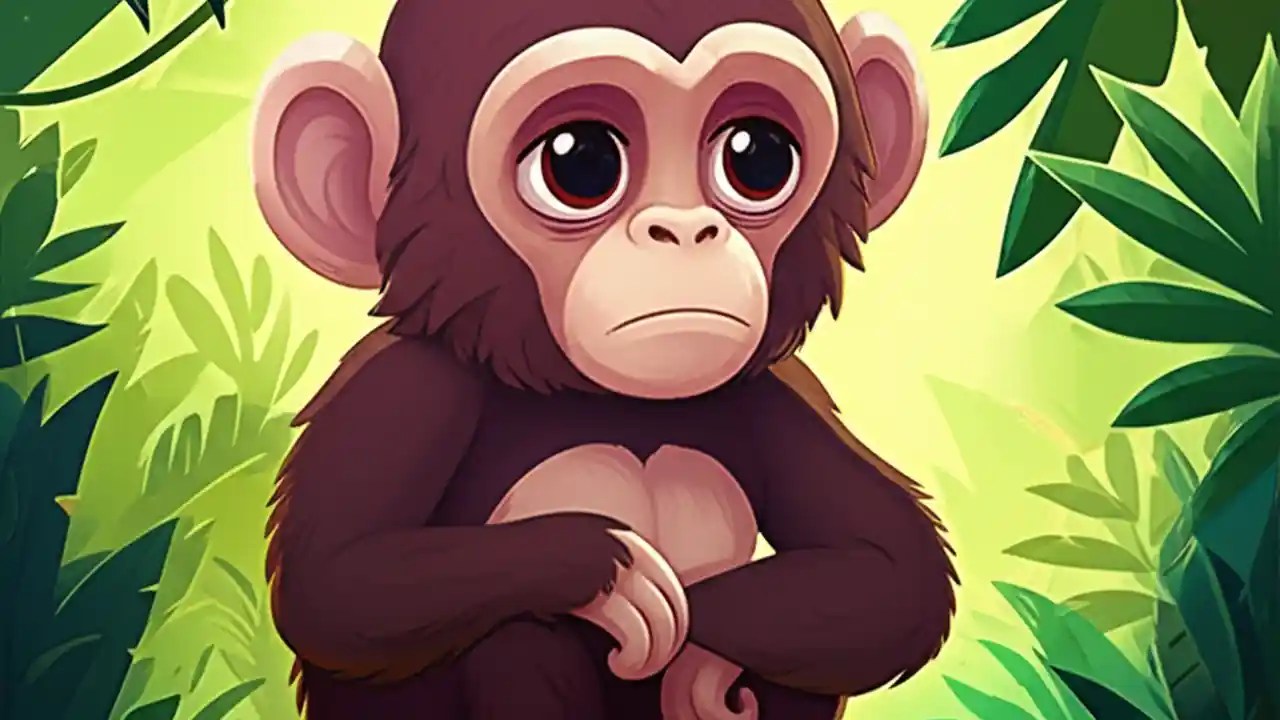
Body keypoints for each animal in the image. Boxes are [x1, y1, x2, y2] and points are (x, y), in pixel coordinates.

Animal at [250, 1, 956, 719]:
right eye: (580, 163)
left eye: (758, 156)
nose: (684, 230)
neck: (608, 402)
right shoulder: (405, 386)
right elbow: (336, 587)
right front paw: (609, 570)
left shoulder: (773, 395)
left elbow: (894, 570)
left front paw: (704, 657)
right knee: (517, 631)